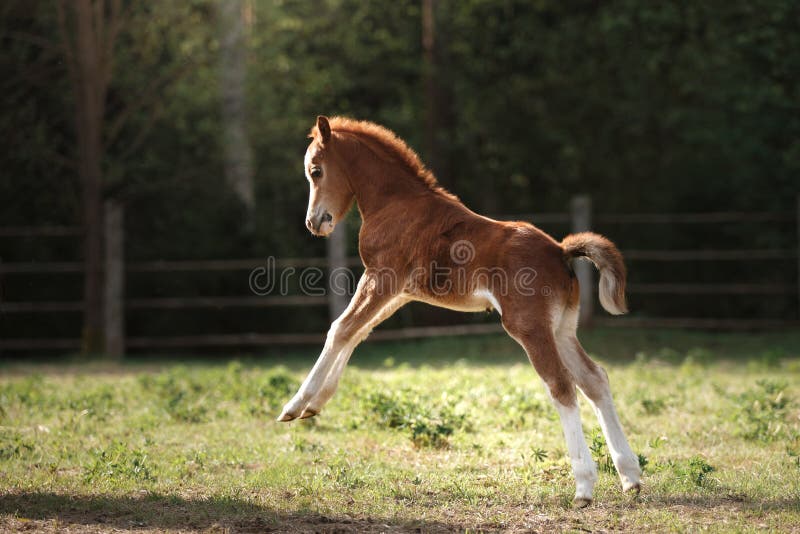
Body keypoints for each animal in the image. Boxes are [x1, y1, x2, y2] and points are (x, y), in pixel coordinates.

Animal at [278, 115, 641, 506]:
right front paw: (316, 404)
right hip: (560, 328)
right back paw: (630, 475)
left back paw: (584, 486)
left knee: (561, 385)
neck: (396, 203)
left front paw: (295, 405)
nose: (315, 222)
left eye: (316, 171)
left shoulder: (382, 277)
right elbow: (357, 332)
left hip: (529, 327)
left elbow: (340, 329)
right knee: (594, 379)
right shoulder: (401, 292)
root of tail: (560, 250)